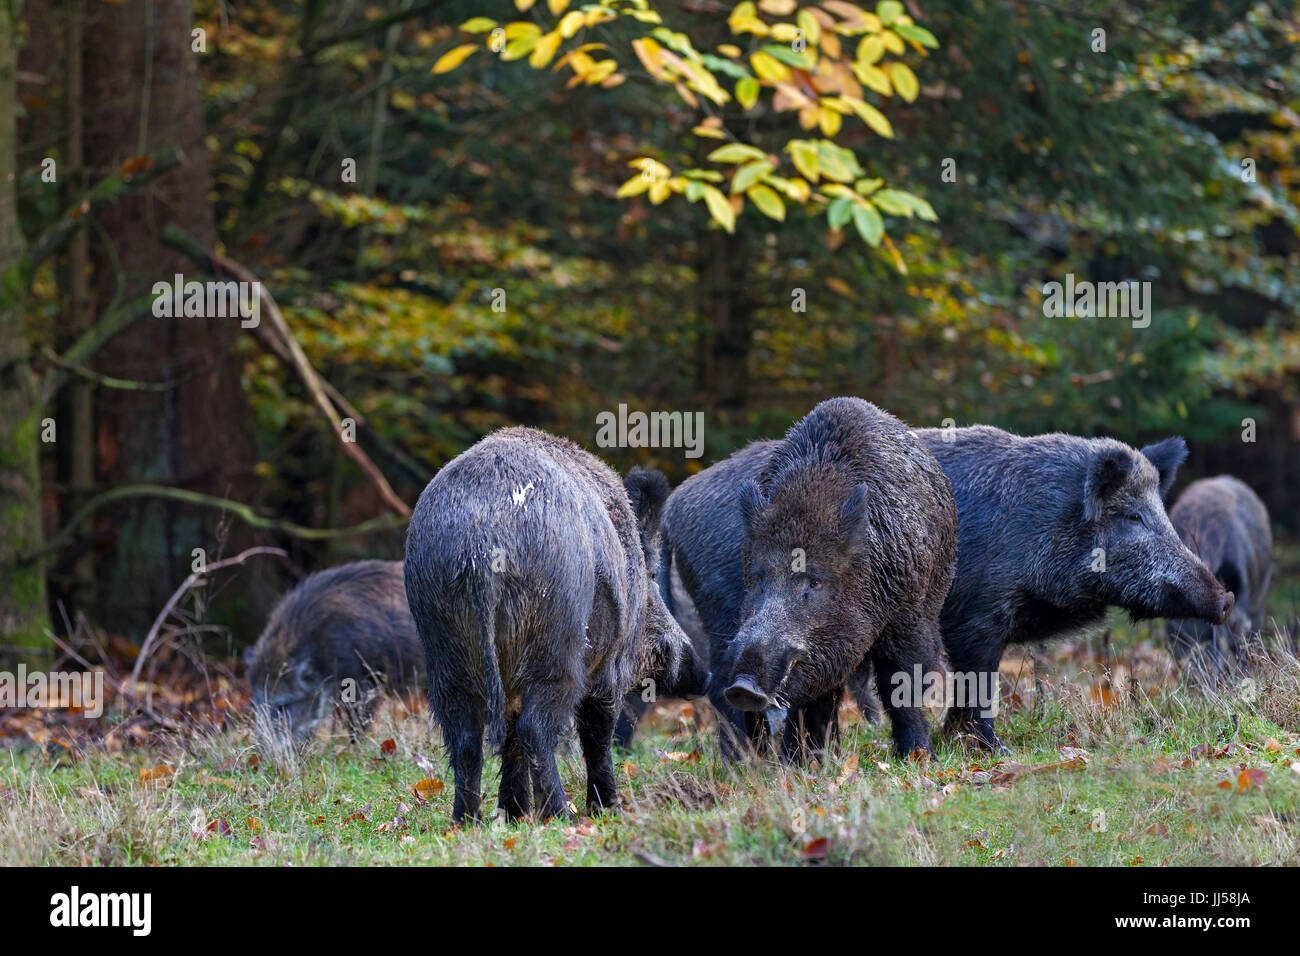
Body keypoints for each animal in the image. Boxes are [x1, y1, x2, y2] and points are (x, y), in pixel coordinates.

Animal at [247, 560, 423, 746]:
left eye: (282, 705)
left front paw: (355, 746)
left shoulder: (364, 681)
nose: (262, 748)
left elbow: (358, 719)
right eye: (256, 705)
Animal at [403, 427, 708, 824]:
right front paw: (607, 809)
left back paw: (466, 822)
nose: (703, 676)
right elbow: (597, 732)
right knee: (535, 726)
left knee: (466, 735)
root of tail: (483, 545)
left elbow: (509, 740)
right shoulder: (609, 668)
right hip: (555, 641)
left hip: (443, 643)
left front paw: (514, 816)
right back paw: (560, 814)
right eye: (653, 575)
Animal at [660, 397, 957, 759]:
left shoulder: (910, 613)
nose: (745, 686)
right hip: (720, 618)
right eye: (758, 578)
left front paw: (917, 756)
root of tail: (672, 508)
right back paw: (748, 762)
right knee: (721, 689)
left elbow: (900, 684)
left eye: (815, 582)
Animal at [914, 426, 1234, 750]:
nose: (1226, 598)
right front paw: (995, 748)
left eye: (1163, 513)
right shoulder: (977, 615)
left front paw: (951, 736)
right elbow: (979, 682)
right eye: (1134, 516)